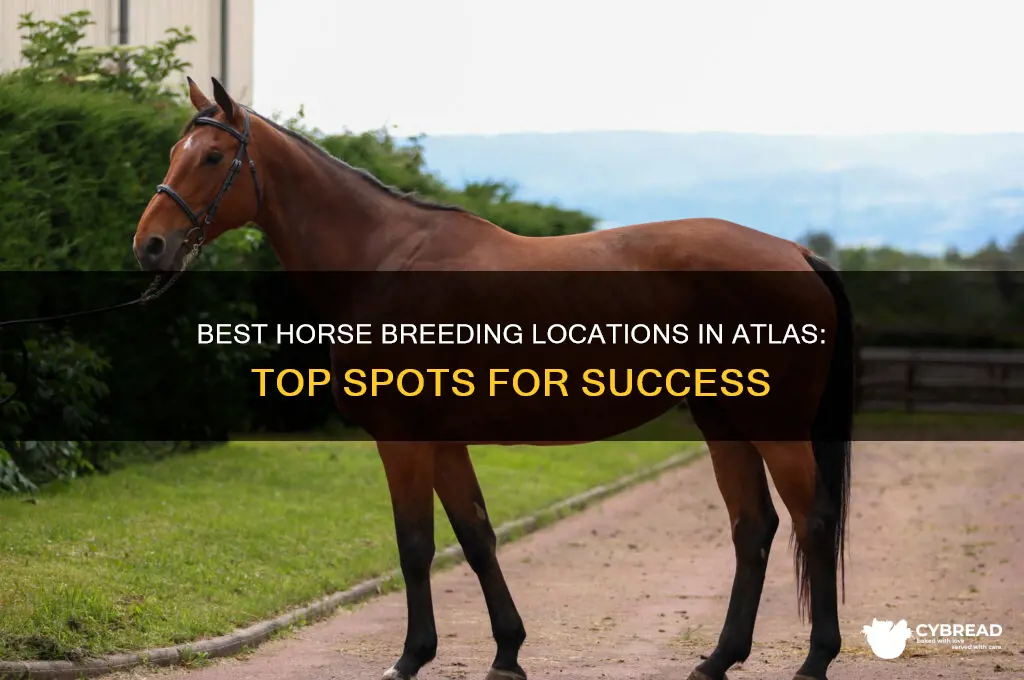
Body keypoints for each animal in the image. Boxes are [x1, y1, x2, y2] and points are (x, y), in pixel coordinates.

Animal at [132, 77, 854, 680]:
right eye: (174, 150)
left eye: (212, 158)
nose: (150, 246)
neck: (384, 262)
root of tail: (794, 253)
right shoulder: (445, 440)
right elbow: (476, 537)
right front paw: (507, 653)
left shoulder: (403, 440)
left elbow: (415, 545)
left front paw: (410, 658)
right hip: (723, 420)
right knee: (753, 528)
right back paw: (717, 660)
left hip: (775, 428)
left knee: (812, 522)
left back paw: (814, 661)